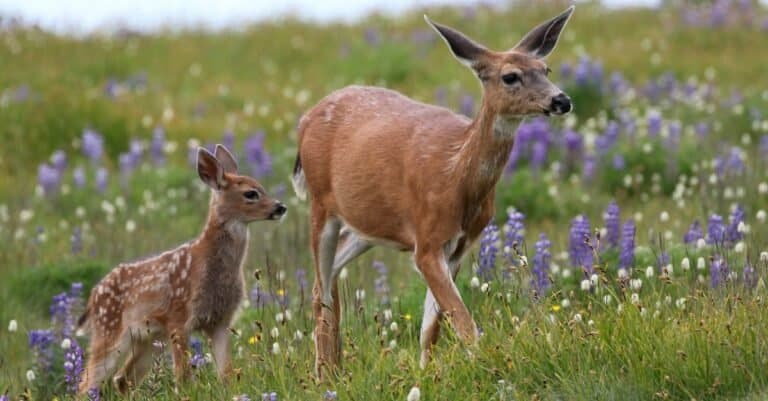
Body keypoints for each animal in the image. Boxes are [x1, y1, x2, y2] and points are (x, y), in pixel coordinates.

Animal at [77, 145, 287, 394]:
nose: (281, 207)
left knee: (121, 379)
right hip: (109, 330)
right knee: (86, 383)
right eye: (251, 193)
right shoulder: (179, 317)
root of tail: (92, 297)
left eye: (262, 187)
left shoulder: (221, 321)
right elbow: (183, 379)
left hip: (149, 338)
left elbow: (226, 374)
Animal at [292, 6, 575, 376]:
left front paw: (426, 374)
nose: (561, 100)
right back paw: (324, 373)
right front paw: (487, 368)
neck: (456, 178)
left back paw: (336, 366)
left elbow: (432, 326)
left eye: (546, 69)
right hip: (320, 203)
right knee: (320, 287)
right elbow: (462, 321)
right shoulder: (426, 239)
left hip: (367, 225)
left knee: (330, 274)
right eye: (510, 76)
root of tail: (304, 122)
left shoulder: (458, 245)